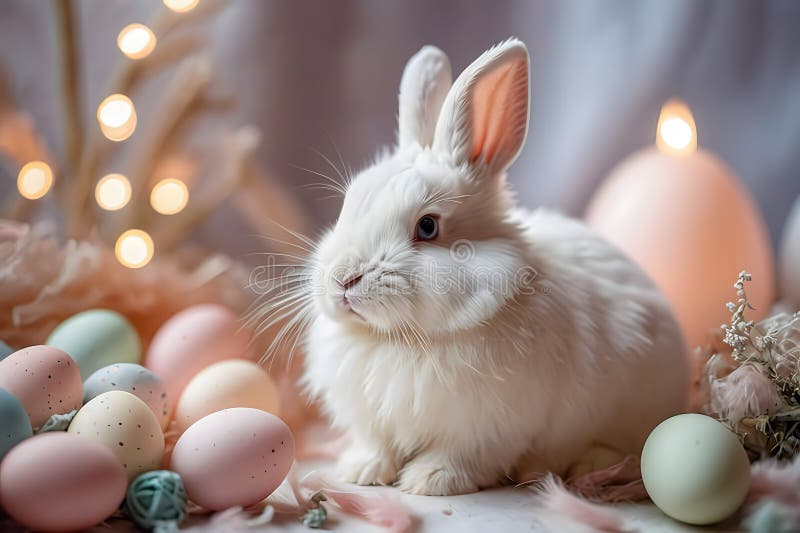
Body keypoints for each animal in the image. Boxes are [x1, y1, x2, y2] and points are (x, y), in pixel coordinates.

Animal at [298, 38, 690, 496]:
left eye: (427, 226)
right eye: (347, 206)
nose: (343, 280)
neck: (402, 341)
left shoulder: (486, 429)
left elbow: (462, 457)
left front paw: (429, 481)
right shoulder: (374, 422)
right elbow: (376, 446)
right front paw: (360, 472)